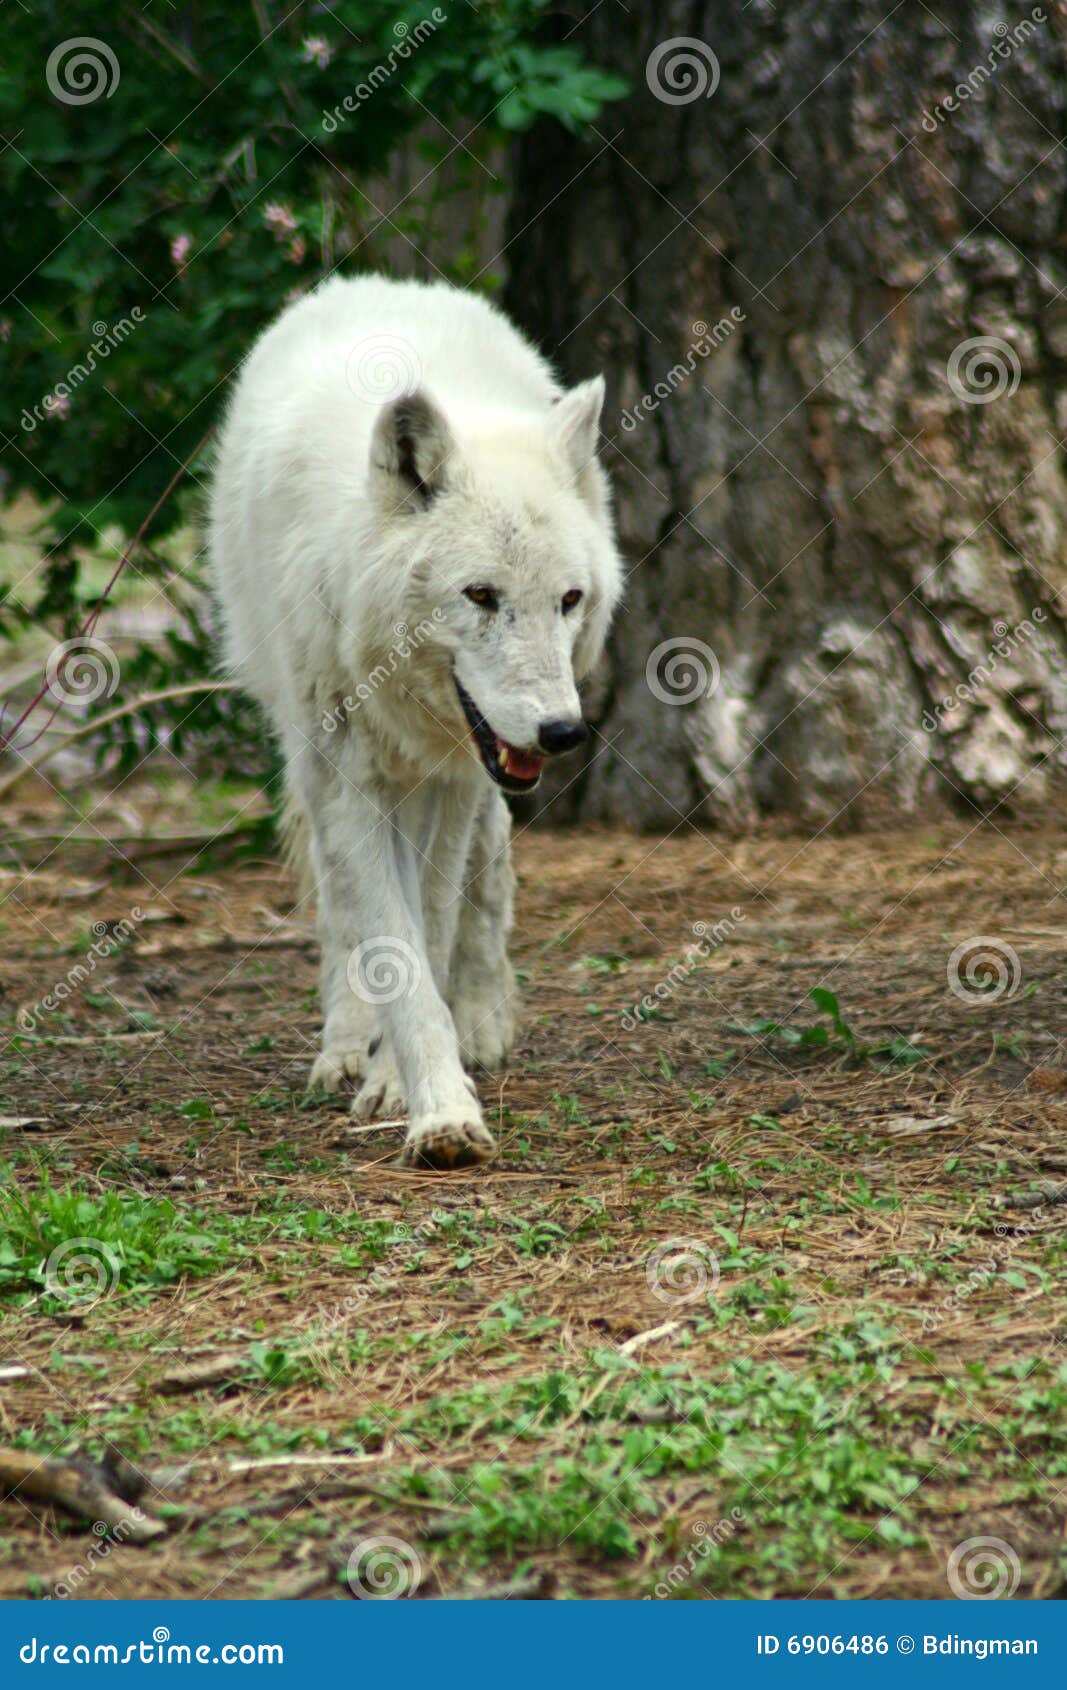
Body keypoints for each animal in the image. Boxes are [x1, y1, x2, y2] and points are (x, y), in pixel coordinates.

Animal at [209, 275, 622, 1168]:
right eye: (480, 595)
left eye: (568, 599)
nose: (561, 733)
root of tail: (384, 282)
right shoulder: (350, 782)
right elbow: (390, 945)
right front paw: (434, 1111)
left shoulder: (456, 777)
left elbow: (429, 925)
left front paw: (410, 1080)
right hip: (311, 756)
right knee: (340, 907)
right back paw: (342, 1045)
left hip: (468, 786)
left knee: (487, 871)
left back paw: (481, 1020)